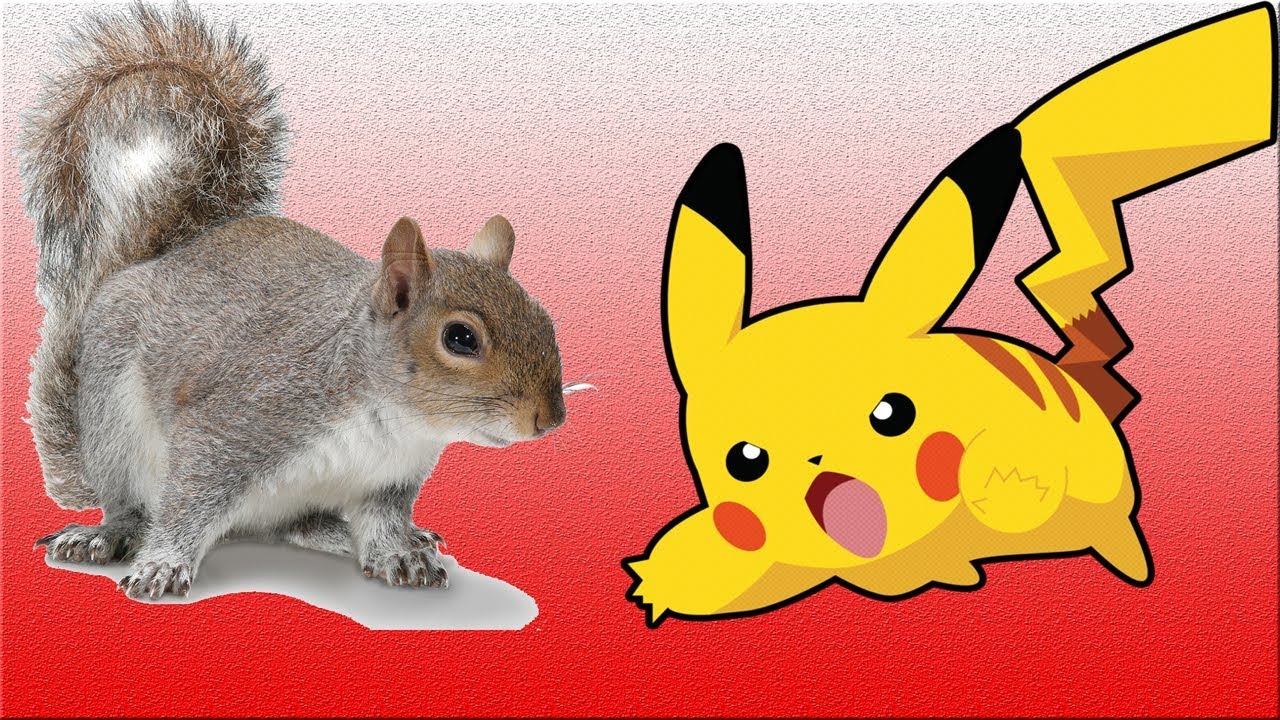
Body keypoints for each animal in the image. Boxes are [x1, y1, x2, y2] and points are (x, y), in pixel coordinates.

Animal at [21, 1, 567, 600]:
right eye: (460, 338)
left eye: (545, 319)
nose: (550, 420)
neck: (392, 421)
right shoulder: (240, 422)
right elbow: (188, 502)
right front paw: (162, 564)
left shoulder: (388, 480)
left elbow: (382, 523)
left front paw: (400, 553)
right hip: (113, 421)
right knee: (132, 504)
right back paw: (106, 534)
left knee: (292, 525)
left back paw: (354, 534)